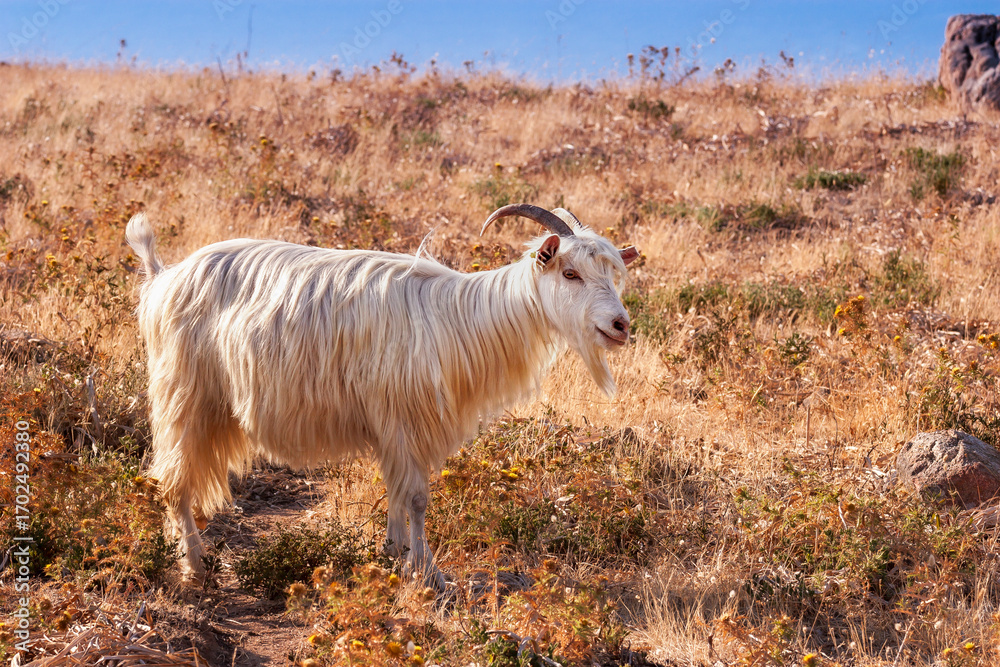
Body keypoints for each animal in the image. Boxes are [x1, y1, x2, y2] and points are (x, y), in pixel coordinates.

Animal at [125, 204, 638, 587]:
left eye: (612, 274)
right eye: (569, 273)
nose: (620, 325)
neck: (462, 319)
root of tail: (162, 277)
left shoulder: (398, 430)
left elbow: (395, 492)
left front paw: (395, 556)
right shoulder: (402, 420)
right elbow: (416, 498)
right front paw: (429, 574)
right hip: (183, 394)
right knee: (172, 479)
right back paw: (195, 567)